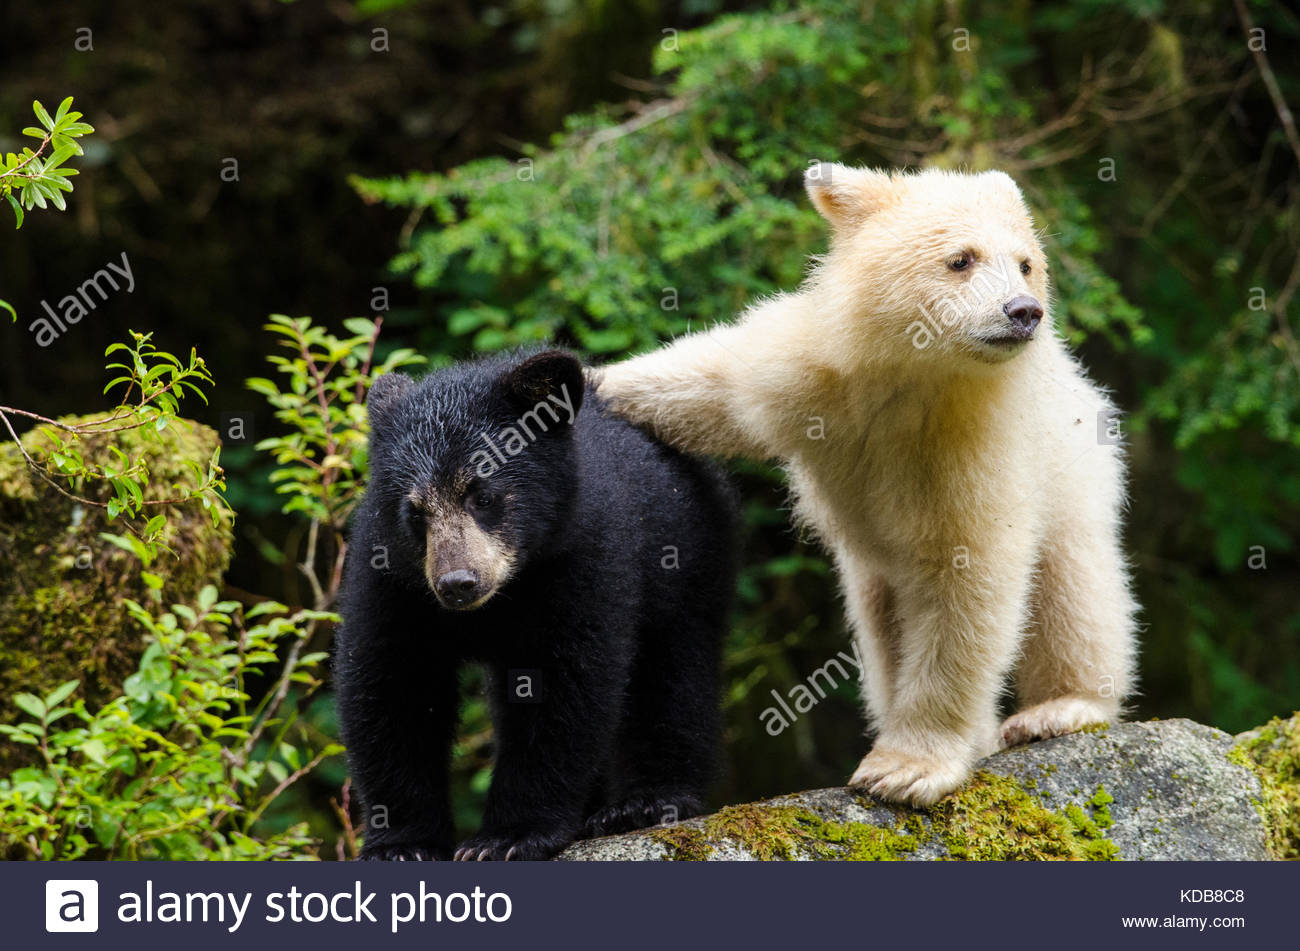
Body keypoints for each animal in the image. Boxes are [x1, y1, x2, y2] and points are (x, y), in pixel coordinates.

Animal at [333, 348, 737, 860]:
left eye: (483, 496)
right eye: (416, 513)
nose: (457, 584)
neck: (503, 596)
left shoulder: (581, 556)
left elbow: (564, 684)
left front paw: (508, 836)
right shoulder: (392, 578)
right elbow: (394, 686)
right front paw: (402, 843)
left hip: (688, 556)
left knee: (674, 673)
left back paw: (644, 803)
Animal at [597, 164, 1138, 806]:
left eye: (1026, 262)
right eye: (962, 259)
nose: (1023, 310)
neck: (910, 377)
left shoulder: (974, 441)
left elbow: (968, 573)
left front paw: (905, 768)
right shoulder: (814, 372)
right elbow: (711, 383)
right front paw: (586, 382)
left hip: (1072, 464)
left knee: (1072, 580)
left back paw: (1060, 708)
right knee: (881, 625)